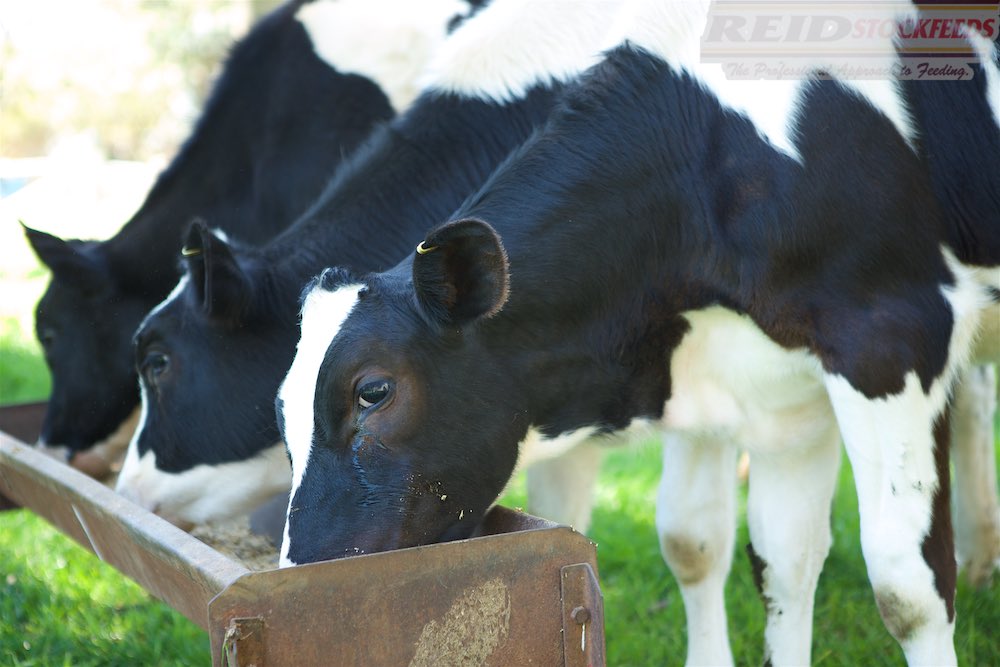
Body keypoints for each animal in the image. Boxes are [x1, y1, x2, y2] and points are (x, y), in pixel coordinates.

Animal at [277, 2, 999, 664]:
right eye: (281, 410)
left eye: (373, 391)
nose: (300, 580)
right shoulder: (782, 390)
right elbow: (777, 558)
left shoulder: (892, 331)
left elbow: (907, 588)